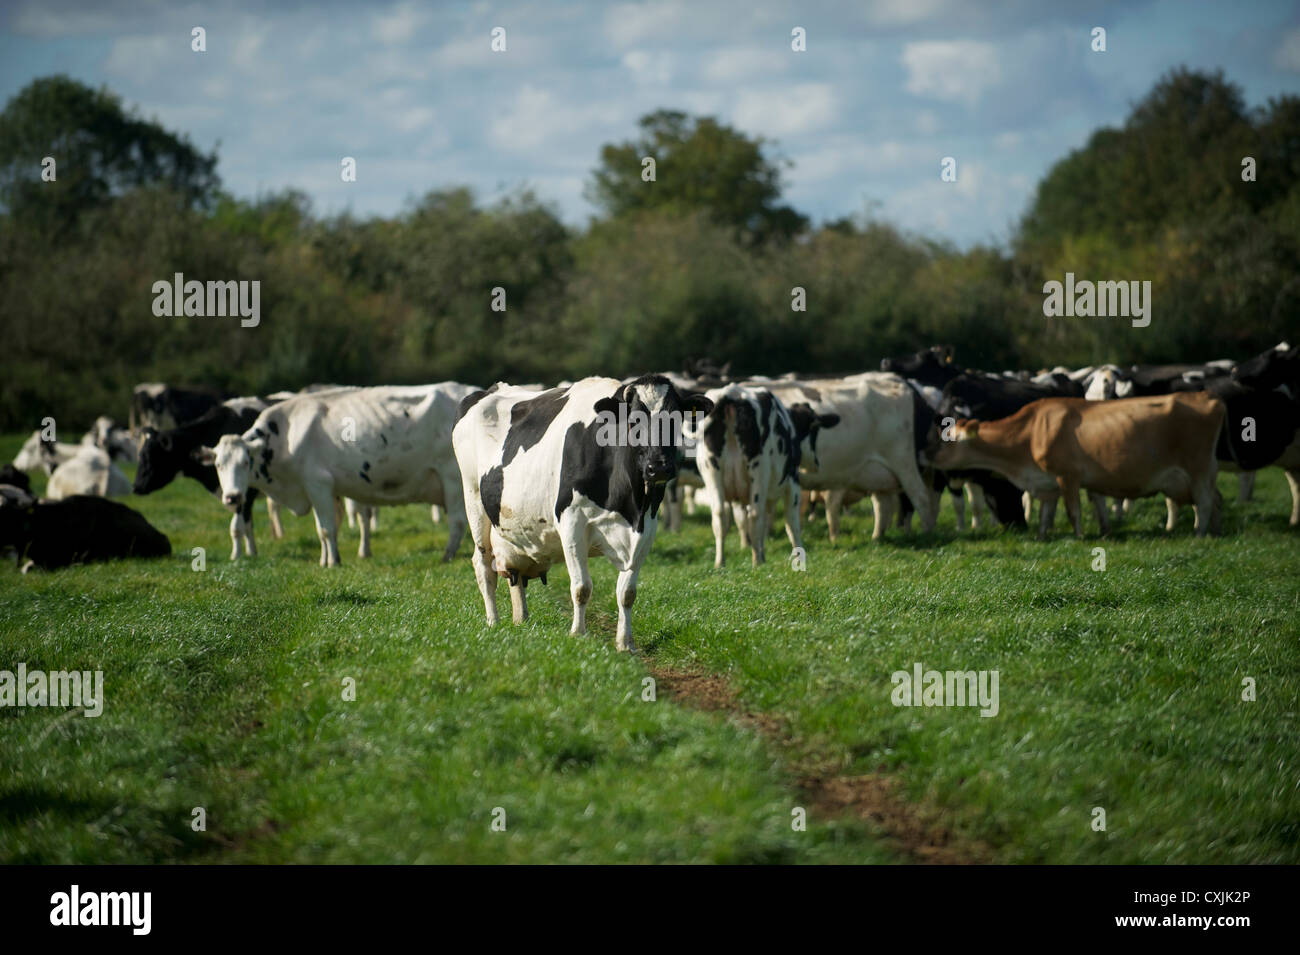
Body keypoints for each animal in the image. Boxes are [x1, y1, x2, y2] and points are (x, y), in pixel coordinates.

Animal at [201, 383, 478, 566]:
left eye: (246, 462)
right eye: (218, 465)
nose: (232, 497)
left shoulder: (318, 483)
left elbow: (326, 529)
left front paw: (333, 562)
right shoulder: (317, 490)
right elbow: (323, 528)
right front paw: (325, 560)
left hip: (453, 479)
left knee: (457, 522)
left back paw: (447, 556)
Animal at [452, 375, 713, 651]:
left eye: (675, 419)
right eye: (633, 420)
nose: (659, 467)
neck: (630, 505)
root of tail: (492, 389)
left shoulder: (647, 528)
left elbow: (627, 593)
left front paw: (625, 643)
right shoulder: (572, 521)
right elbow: (581, 587)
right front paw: (578, 634)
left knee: (514, 572)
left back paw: (520, 620)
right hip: (473, 499)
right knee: (483, 565)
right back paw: (493, 622)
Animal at [925, 393, 1225, 538]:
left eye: (949, 439)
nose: (925, 454)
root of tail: (1207, 396)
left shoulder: (1067, 476)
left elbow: (1073, 511)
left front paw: (1079, 537)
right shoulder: (1047, 483)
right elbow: (1045, 514)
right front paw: (1042, 537)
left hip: (1198, 468)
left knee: (1205, 502)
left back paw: (1199, 534)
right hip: (1200, 473)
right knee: (1212, 501)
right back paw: (1209, 531)